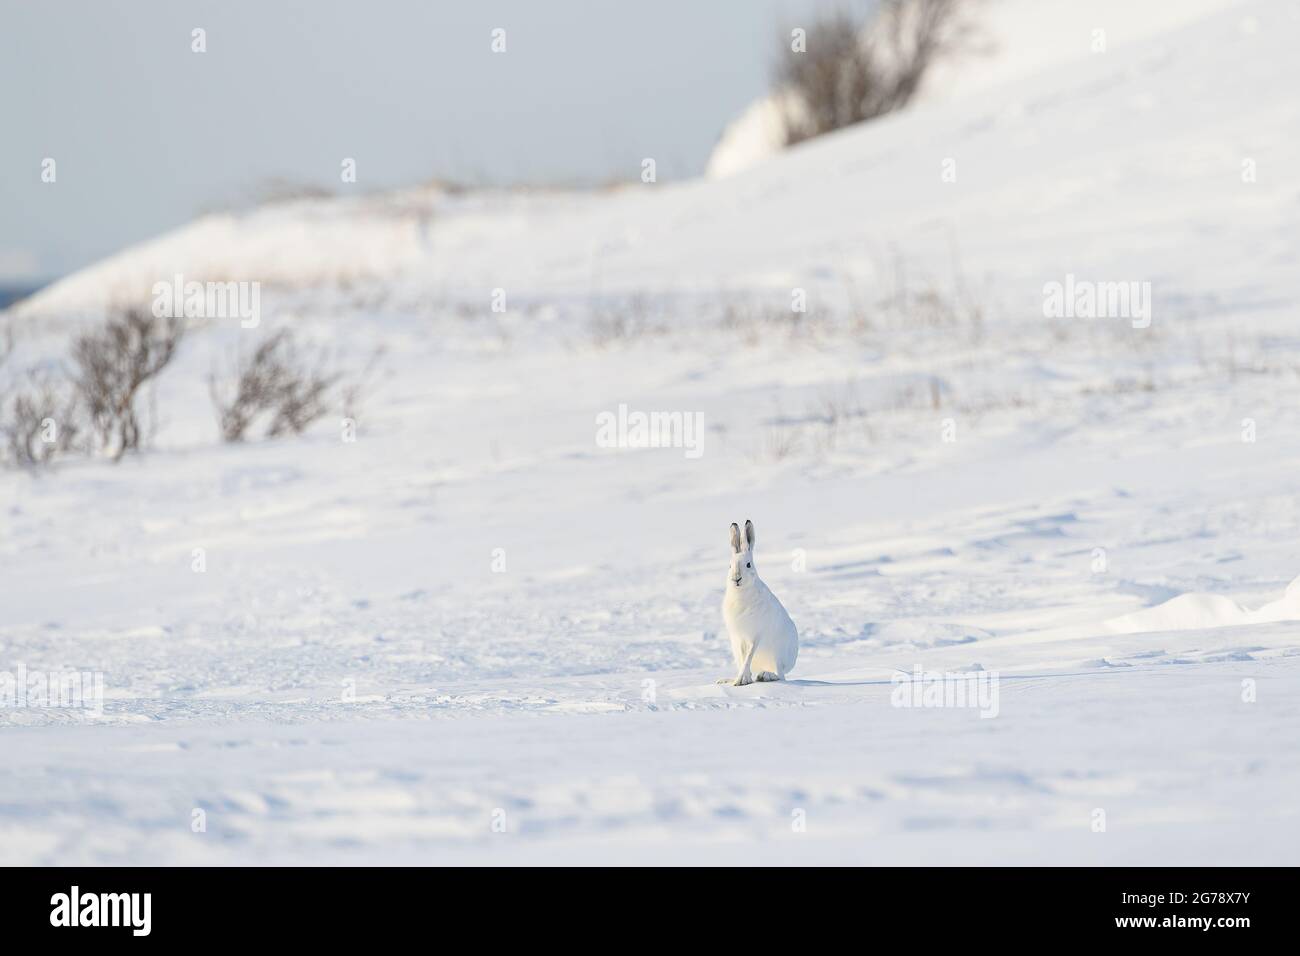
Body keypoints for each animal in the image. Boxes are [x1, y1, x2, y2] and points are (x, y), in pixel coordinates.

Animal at [717, 519, 799, 686]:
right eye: (730, 565)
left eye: (748, 564)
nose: (736, 578)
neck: (741, 594)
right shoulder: (739, 638)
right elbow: (744, 659)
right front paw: (741, 679)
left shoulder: (756, 635)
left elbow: (749, 656)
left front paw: (741, 680)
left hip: (777, 655)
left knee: (781, 676)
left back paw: (765, 675)